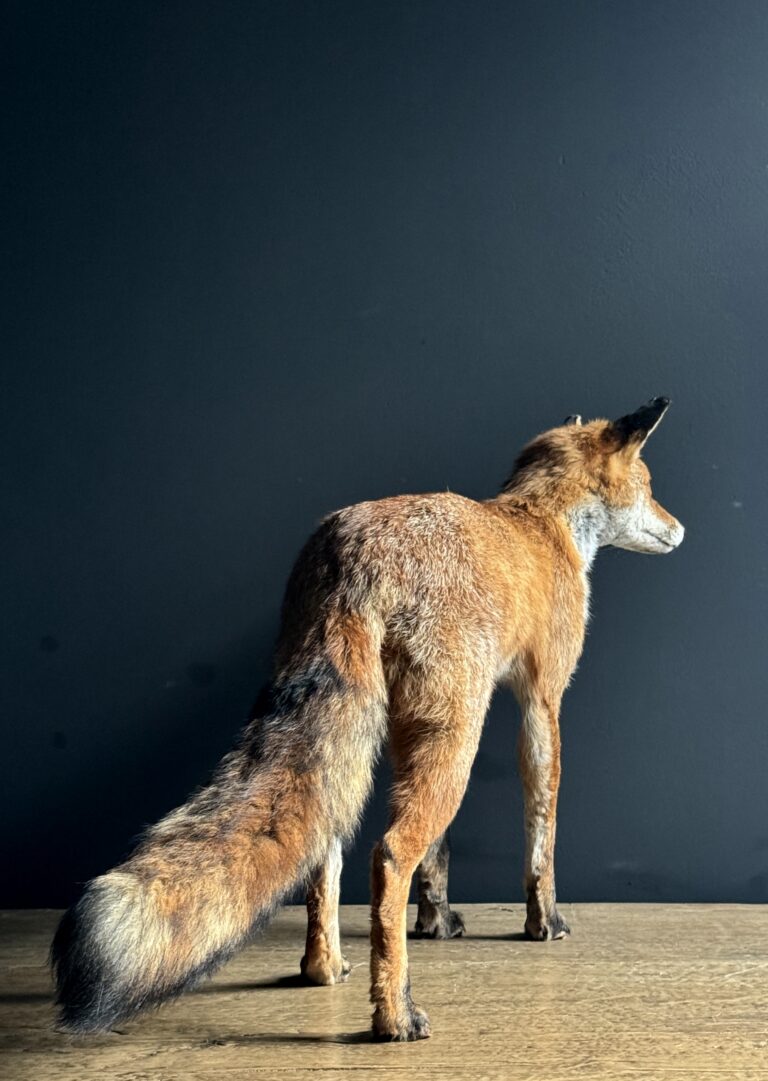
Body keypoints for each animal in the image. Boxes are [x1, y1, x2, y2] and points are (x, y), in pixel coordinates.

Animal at [51, 396, 684, 1042]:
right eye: (650, 486)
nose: (680, 529)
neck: (541, 522)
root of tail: (351, 551)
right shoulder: (542, 698)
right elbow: (541, 826)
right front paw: (544, 922)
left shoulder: (421, 728)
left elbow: (440, 854)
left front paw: (435, 922)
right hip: (455, 734)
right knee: (390, 853)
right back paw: (394, 1013)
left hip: (376, 741)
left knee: (327, 852)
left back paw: (323, 968)